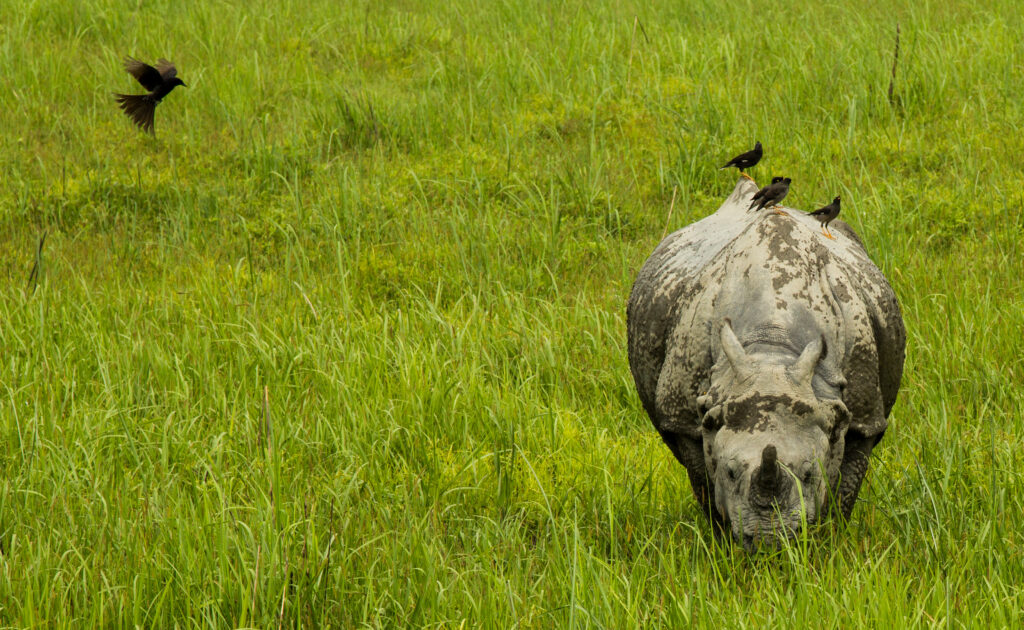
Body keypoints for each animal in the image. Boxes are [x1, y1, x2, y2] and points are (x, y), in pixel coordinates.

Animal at [627, 178, 905, 550]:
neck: (772, 351)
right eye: (731, 472)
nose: (770, 543)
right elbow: (704, 483)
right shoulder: (683, 417)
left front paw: (828, 545)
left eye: (809, 473)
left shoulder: (864, 418)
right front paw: (723, 547)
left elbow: (844, 491)